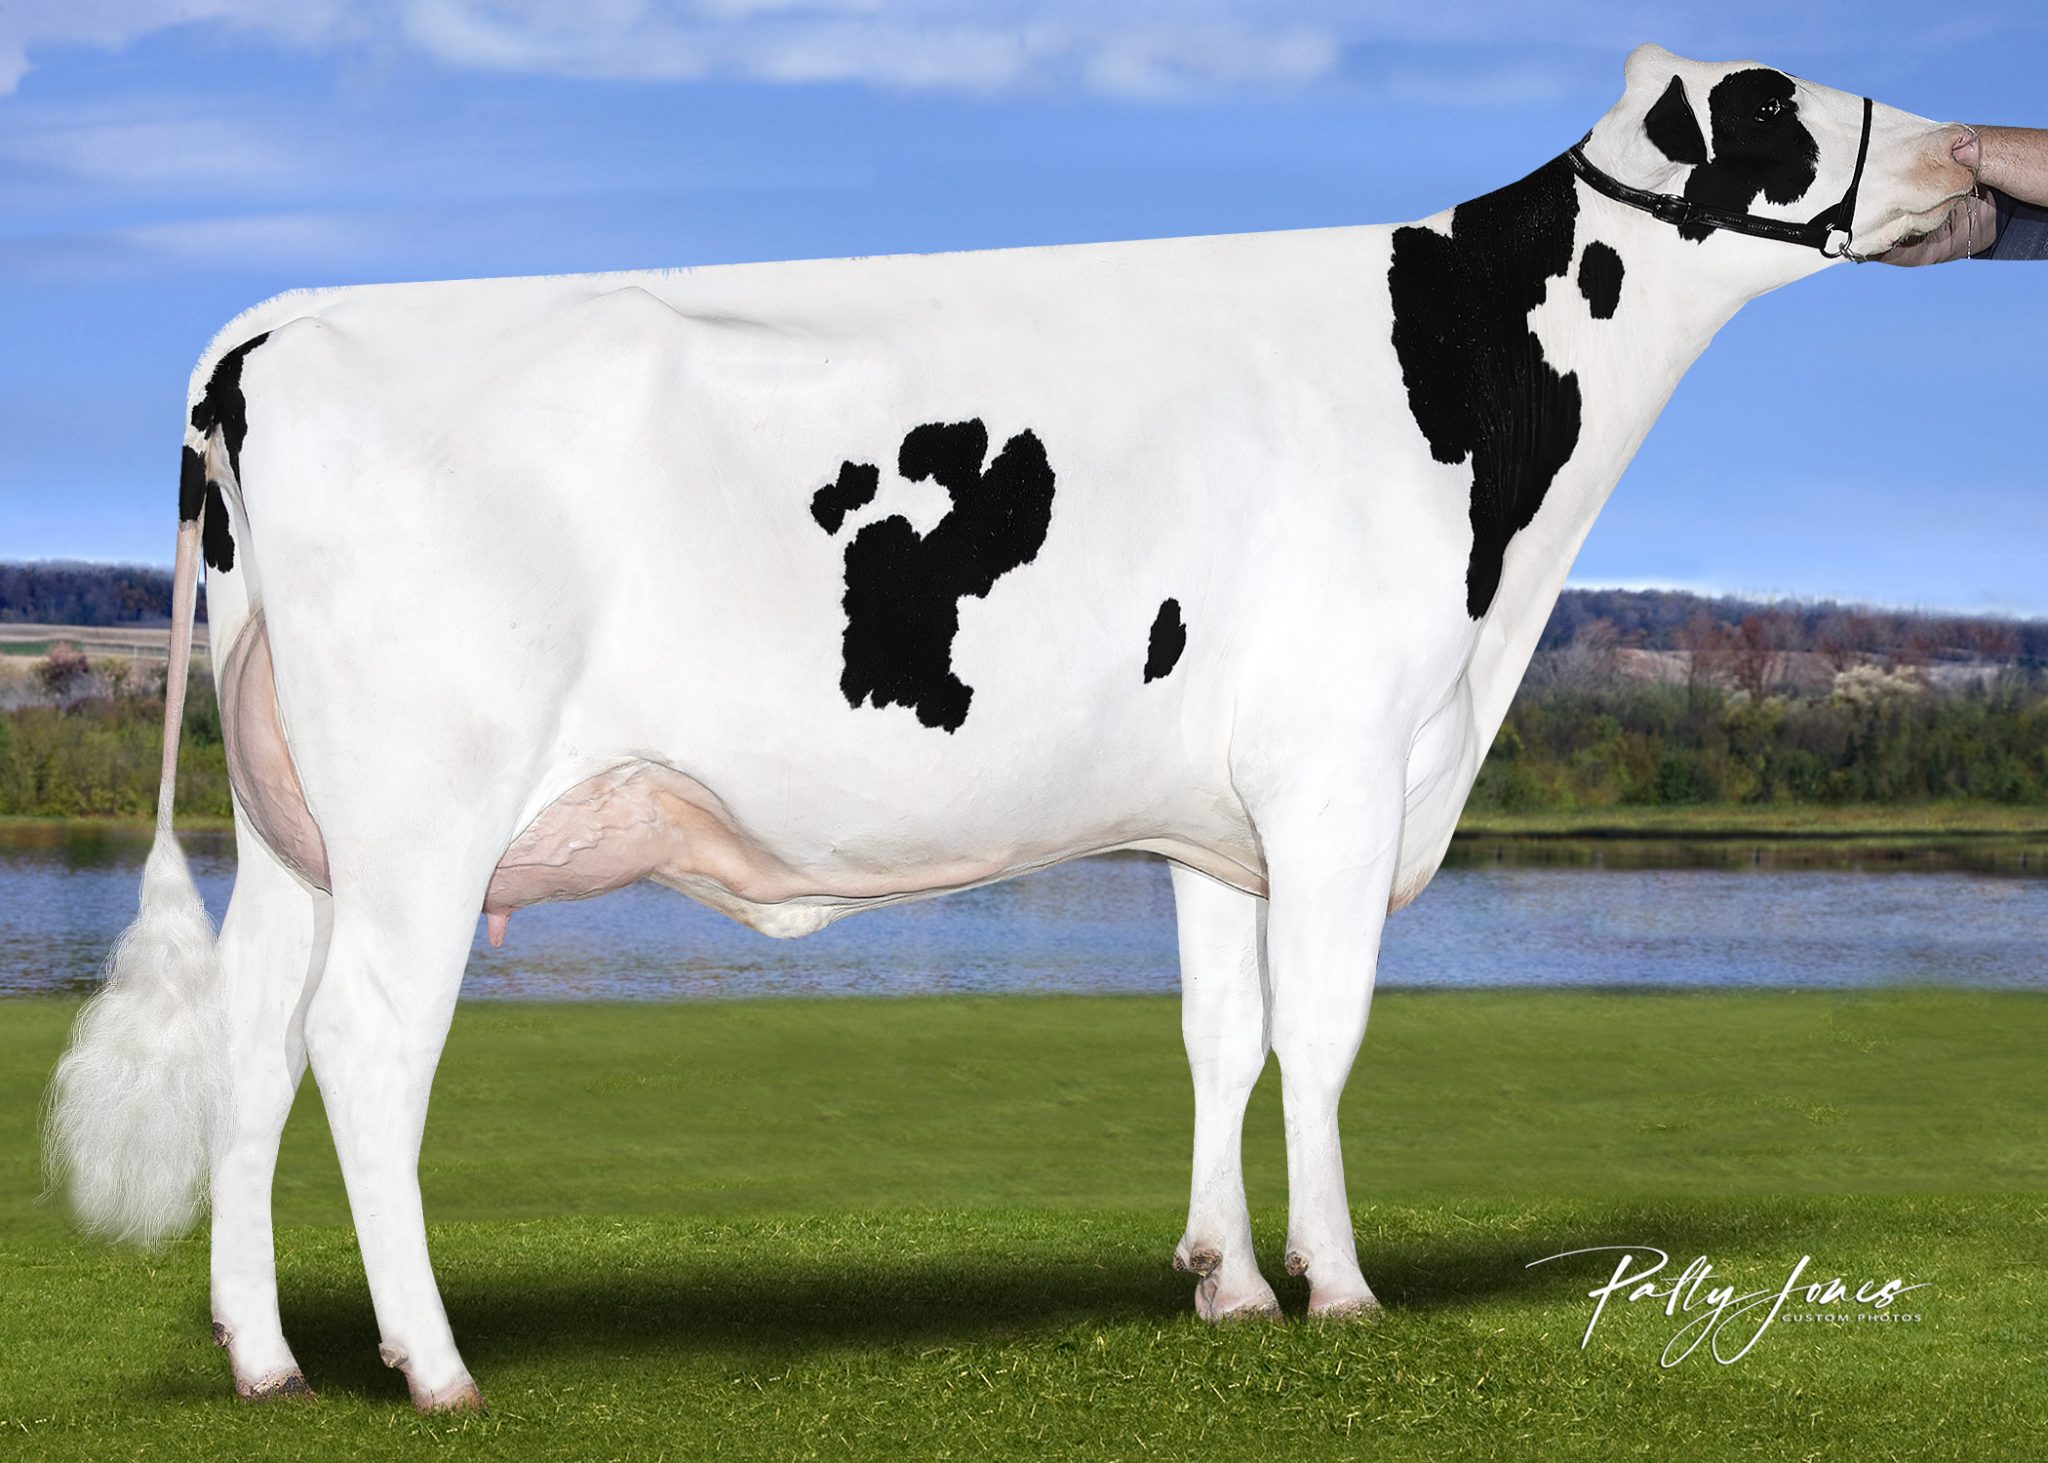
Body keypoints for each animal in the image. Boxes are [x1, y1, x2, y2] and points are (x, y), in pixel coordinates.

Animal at [47, 43, 1978, 1411]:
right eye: (1779, 103)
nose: (1973, 159)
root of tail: (275, 331)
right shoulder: (1342, 766)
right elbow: (1324, 1034)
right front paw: (1340, 1288)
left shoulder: (1220, 817)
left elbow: (1223, 1035)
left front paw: (1226, 1278)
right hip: (424, 816)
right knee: (366, 1047)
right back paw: (434, 1365)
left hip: (293, 826)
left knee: (254, 1040)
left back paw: (265, 1355)